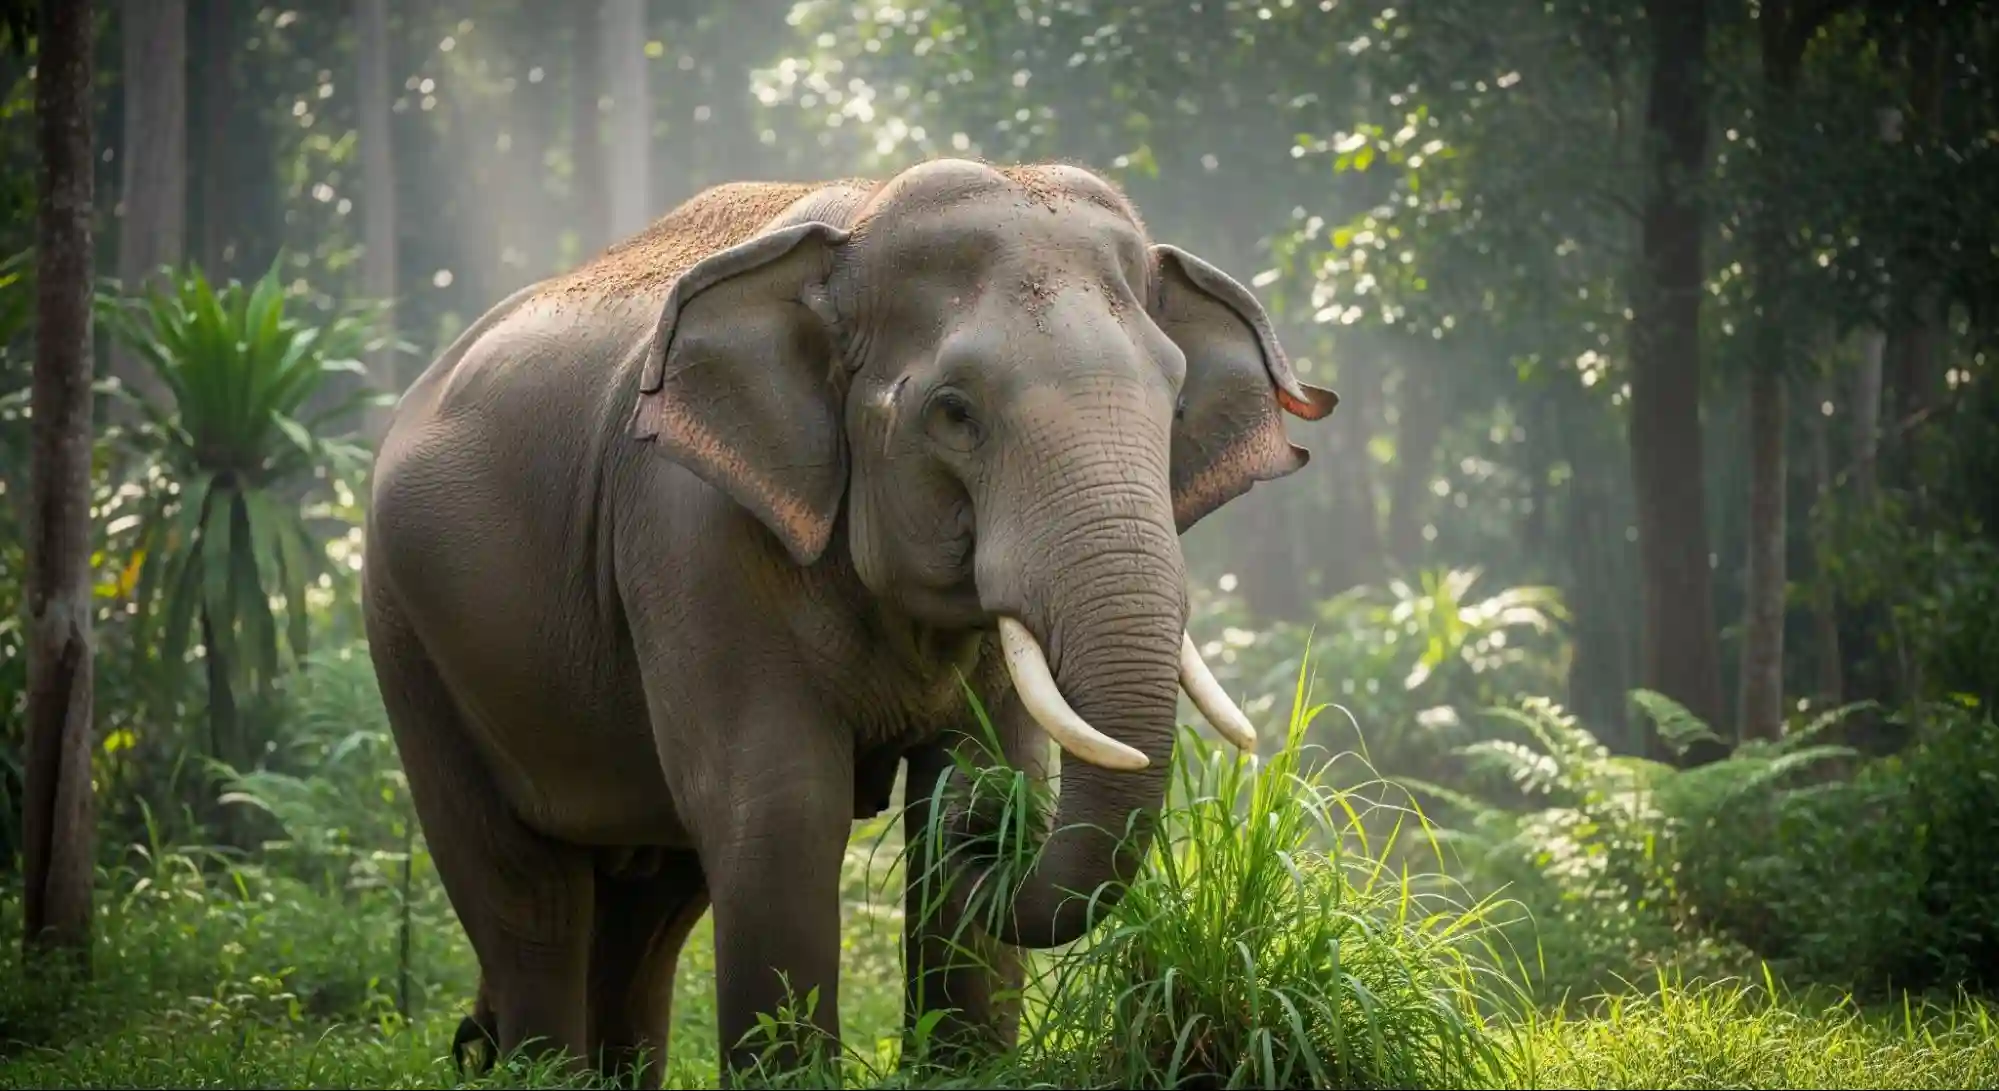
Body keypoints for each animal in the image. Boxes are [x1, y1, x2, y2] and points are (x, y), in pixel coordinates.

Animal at [360, 157, 1337, 1086]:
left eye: (1174, 402)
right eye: (953, 412)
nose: (997, 828)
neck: (858, 219)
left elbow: (967, 766)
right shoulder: (691, 528)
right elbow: (782, 806)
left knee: (648, 905)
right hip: (408, 634)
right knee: (527, 894)